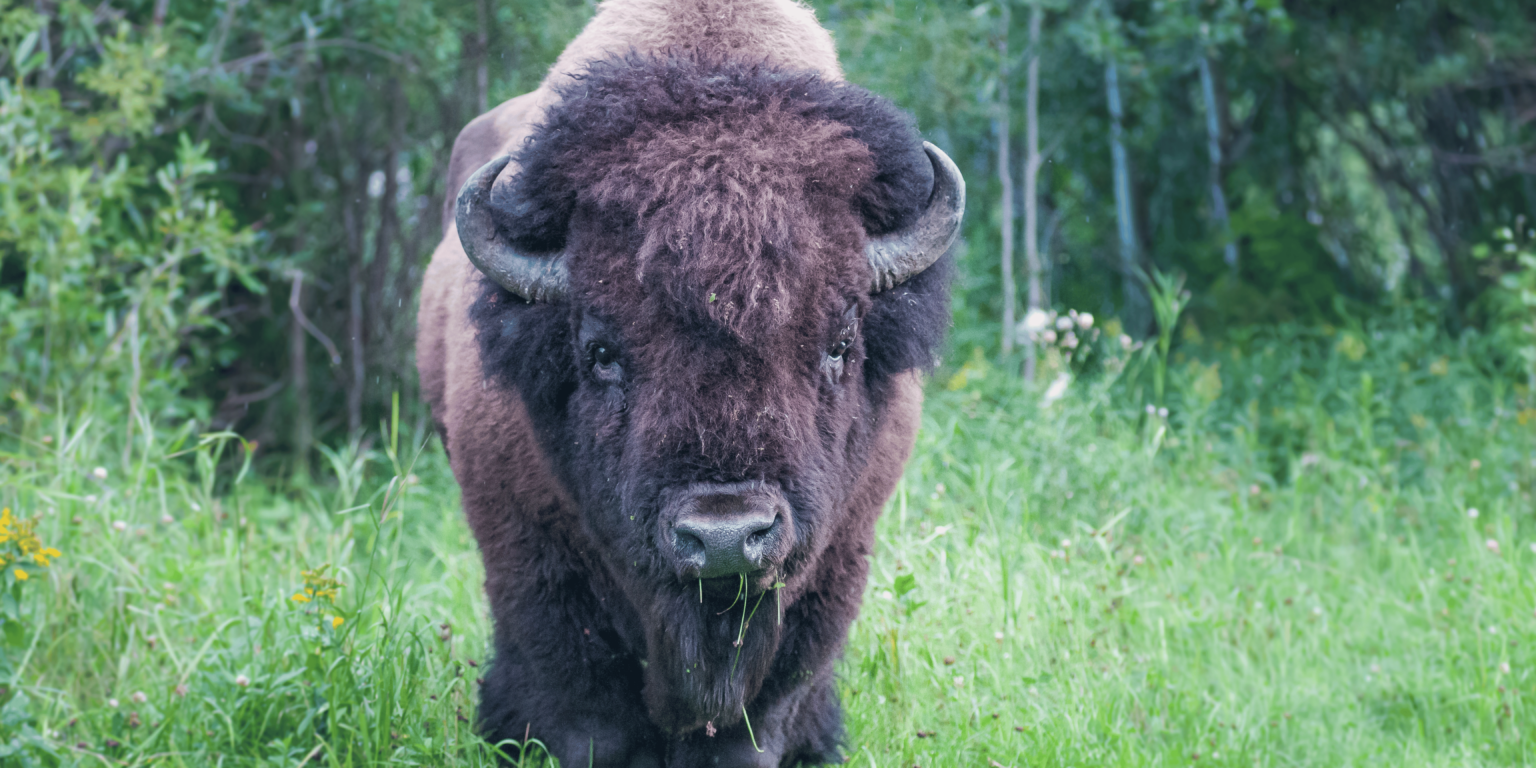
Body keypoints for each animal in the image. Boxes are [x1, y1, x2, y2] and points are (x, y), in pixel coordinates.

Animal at [416, 0, 964, 764]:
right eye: (601, 351)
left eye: (840, 344)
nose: (727, 537)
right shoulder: (531, 552)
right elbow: (585, 707)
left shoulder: (834, 561)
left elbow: (761, 708)